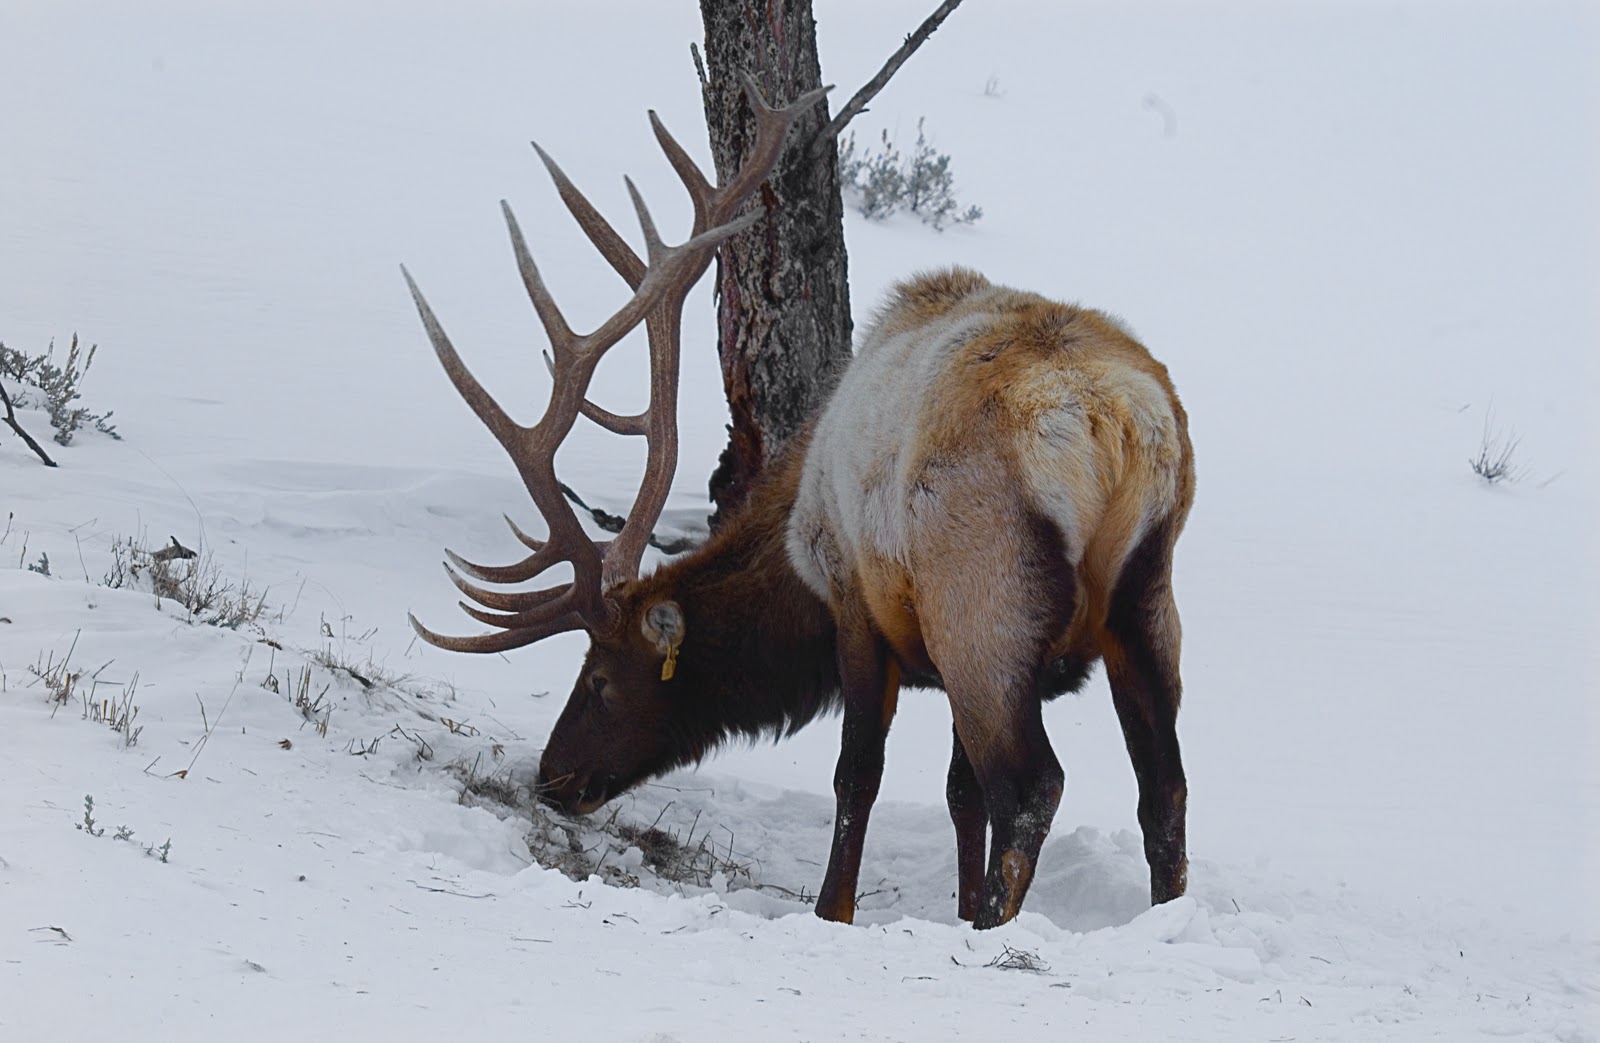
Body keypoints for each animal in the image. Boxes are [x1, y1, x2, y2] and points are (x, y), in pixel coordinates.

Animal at [403, 77, 1195, 930]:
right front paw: (954, 901)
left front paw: (835, 909)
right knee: (1164, 790)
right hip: (1146, 599)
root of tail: (1111, 424)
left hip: (985, 602)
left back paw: (993, 925)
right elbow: (958, 793)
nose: (553, 777)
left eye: (601, 679)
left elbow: (860, 774)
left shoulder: (856, 602)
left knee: (1031, 785)